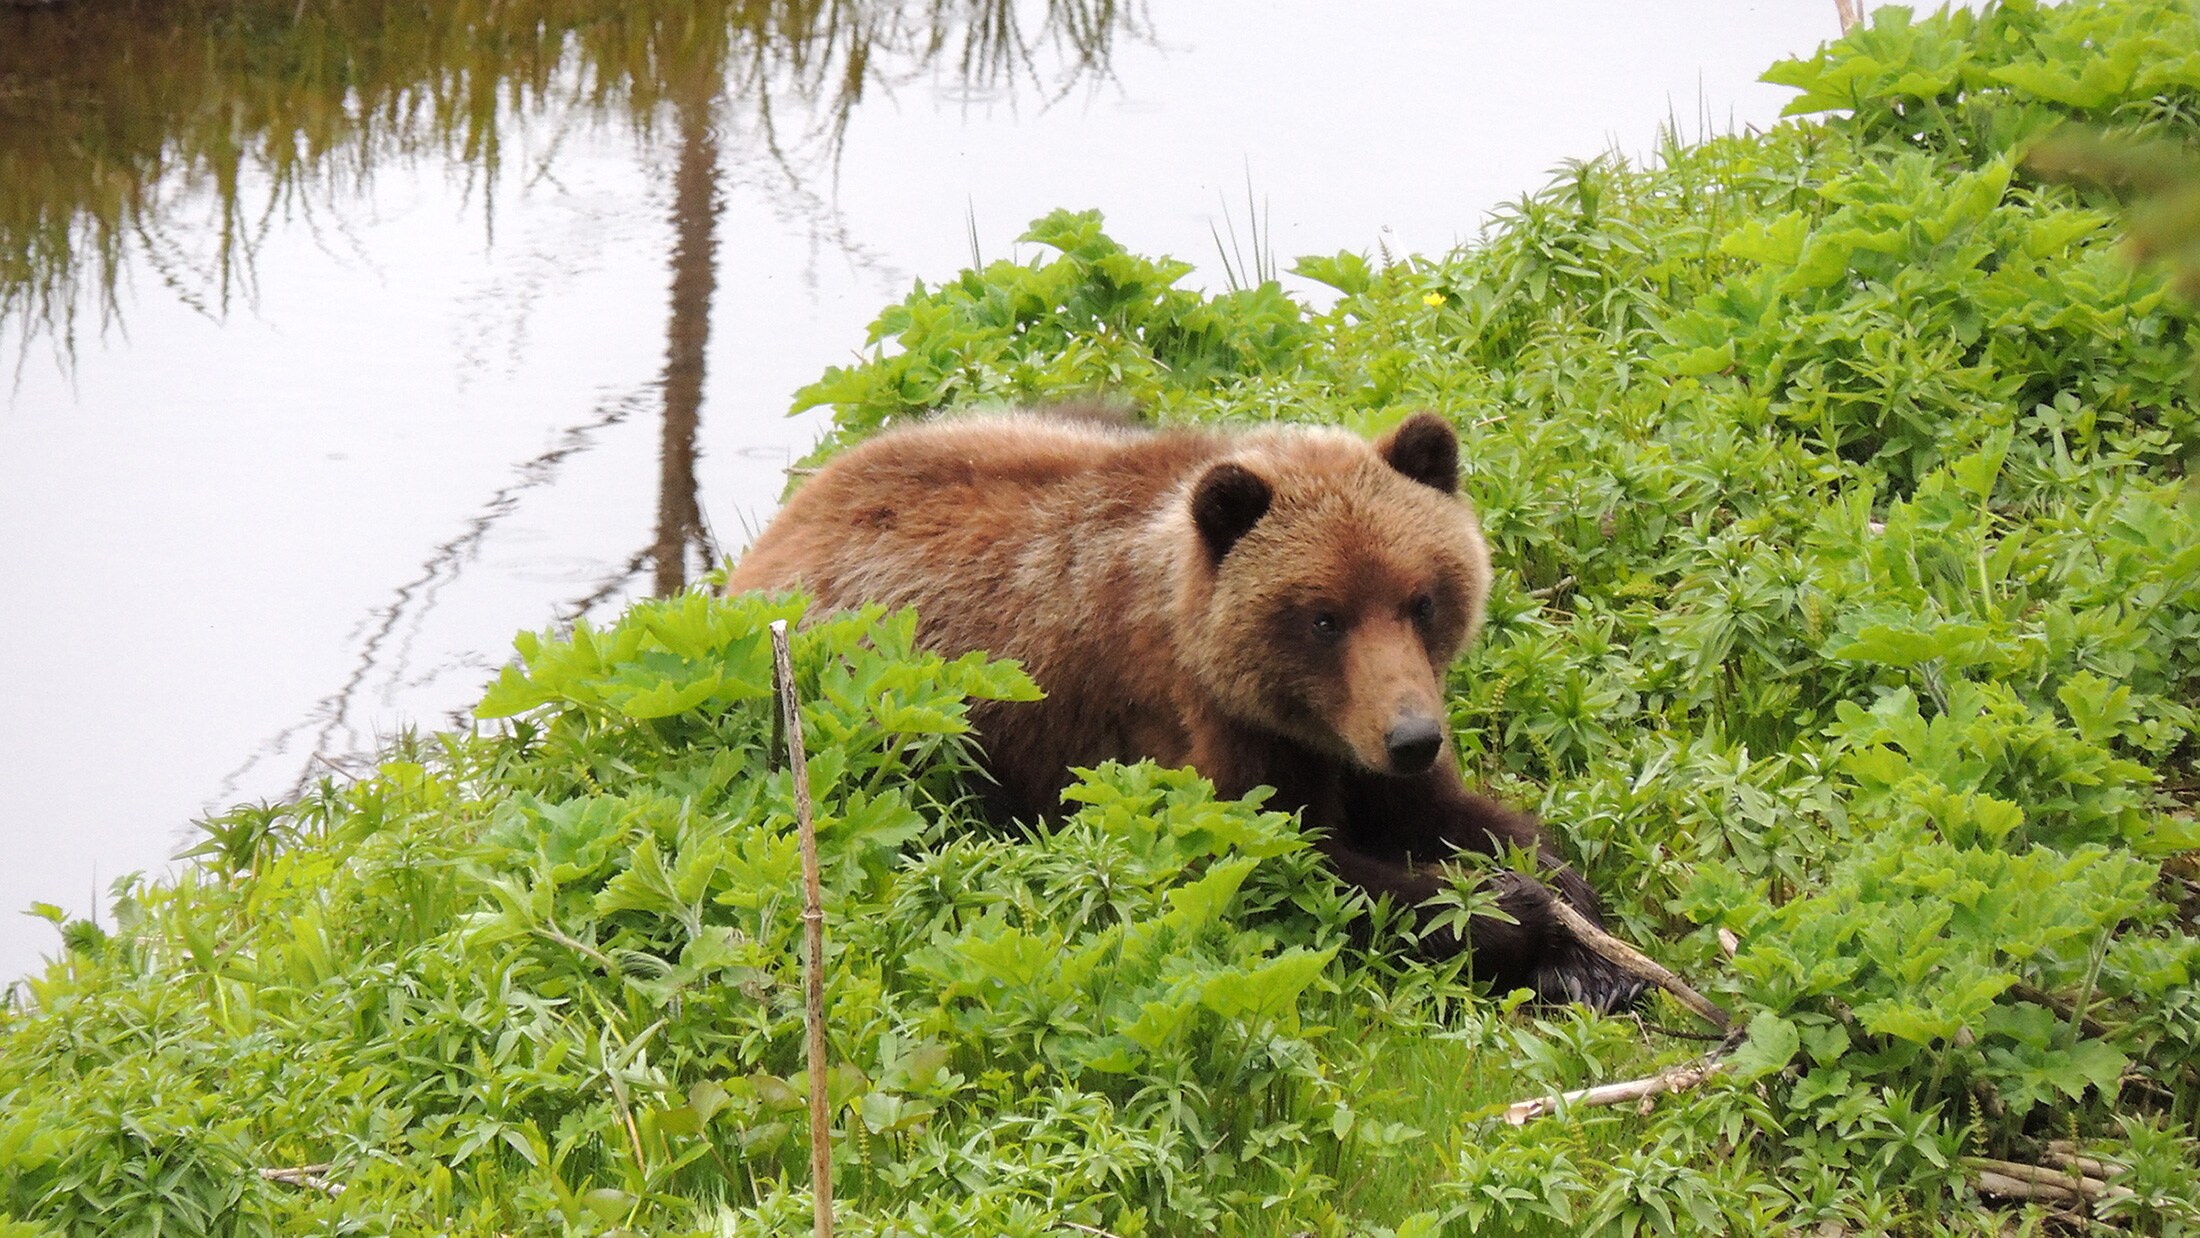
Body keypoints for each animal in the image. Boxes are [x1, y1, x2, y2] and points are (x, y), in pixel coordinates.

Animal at [727, 409, 1640, 1010]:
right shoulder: (1184, 738)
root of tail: (770, 535)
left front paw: (1582, 926)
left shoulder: (1359, 743)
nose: (1411, 737)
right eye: (1324, 616)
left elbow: (1457, 814)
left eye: (1422, 599)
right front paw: (1518, 915)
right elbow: (1283, 867)